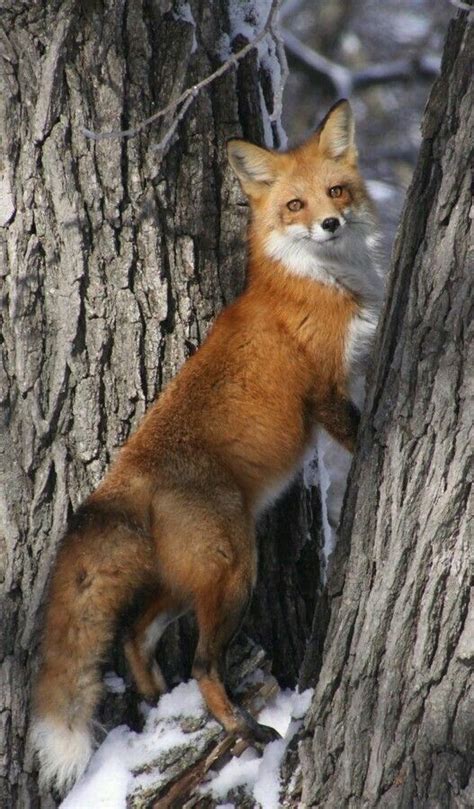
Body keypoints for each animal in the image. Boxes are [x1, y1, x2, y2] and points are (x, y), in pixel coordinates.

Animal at [30, 99, 384, 795]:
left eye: (336, 192)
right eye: (295, 205)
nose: (330, 223)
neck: (314, 282)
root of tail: (128, 471)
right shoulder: (326, 394)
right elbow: (358, 440)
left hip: (190, 578)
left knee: (135, 636)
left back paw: (154, 701)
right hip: (234, 571)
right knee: (199, 664)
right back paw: (242, 729)